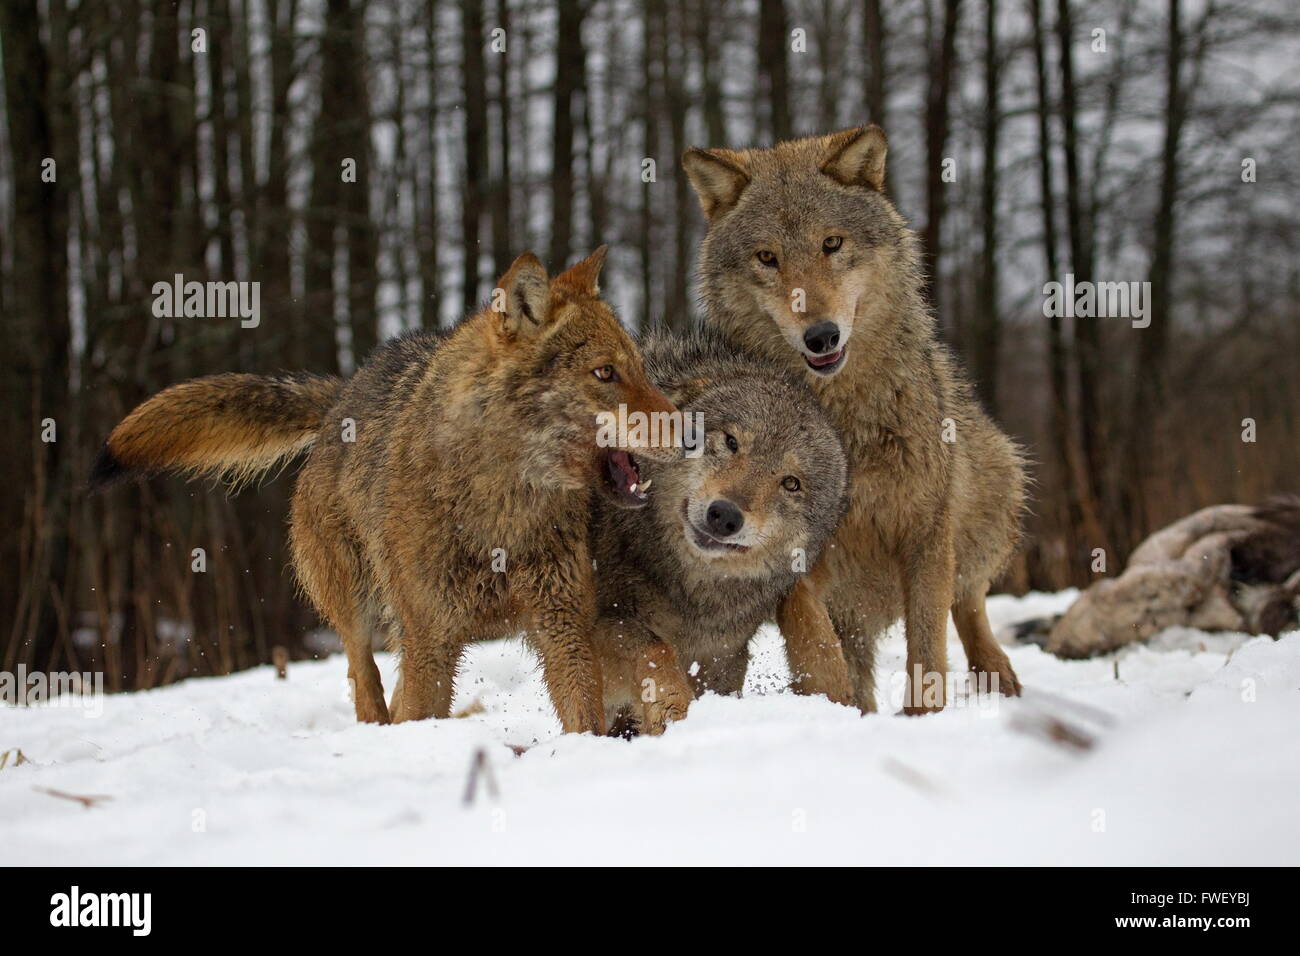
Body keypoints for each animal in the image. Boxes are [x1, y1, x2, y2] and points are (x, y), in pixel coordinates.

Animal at [90, 247, 676, 733]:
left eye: (639, 369)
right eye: (605, 373)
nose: (689, 427)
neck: (500, 511)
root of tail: (339, 399)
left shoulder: (564, 628)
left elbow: (585, 717)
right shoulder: (431, 641)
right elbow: (414, 710)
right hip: (356, 601)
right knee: (364, 678)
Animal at [590, 332, 852, 738]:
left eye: (791, 483)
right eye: (731, 442)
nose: (724, 516)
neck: (687, 594)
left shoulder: (721, 656)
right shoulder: (598, 623)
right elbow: (655, 651)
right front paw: (673, 718)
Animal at [686, 125, 1029, 712]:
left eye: (832, 244)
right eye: (767, 257)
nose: (821, 336)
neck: (845, 423)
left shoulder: (925, 531)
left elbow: (928, 649)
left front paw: (924, 718)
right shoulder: (795, 562)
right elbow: (817, 650)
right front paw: (838, 712)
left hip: (997, 484)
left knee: (969, 599)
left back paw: (999, 678)